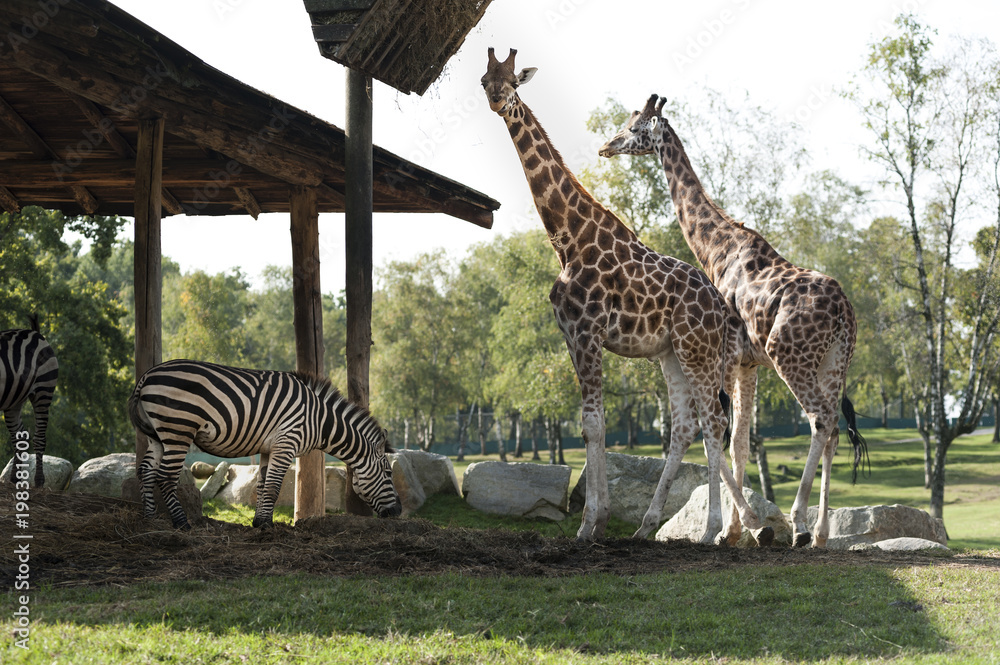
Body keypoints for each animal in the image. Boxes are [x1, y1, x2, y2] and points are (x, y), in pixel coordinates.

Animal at [2, 321, 59, 487]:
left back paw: (39, 480)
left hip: (43, 390)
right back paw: (15, 477)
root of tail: (34, 332)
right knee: (19, 436)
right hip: (13, 399)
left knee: (39, 437)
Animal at [128, 359, 401, 529]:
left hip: (157, 434)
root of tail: (147, 375)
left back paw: (150, 518)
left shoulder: (269, 448)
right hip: (178, 429)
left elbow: (261, 486)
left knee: (146, 471)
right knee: (165, 476)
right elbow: (272, 487)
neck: (319, 419)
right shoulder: (287, 443)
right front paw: (267, 526)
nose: (398, 512)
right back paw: (181, 523)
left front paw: (259, 521)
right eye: (388, 473)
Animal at [482, 48, 773, 545]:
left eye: (514, 82)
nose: (499, 101)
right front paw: (598, 520)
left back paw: (720, 529)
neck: (568, 239)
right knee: (686, 426)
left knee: (714, 423)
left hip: (696, 351)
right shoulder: (571, 335)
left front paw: (588, 524)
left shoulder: (588, 333)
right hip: (671, 354)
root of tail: (718, 307)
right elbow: (591, 425)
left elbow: (593, 425)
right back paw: (653, 526)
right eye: (485, 79)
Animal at [599, 94, 868, 548]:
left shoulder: (725, 353)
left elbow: (717, 431)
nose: (606, 147)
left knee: (820, 420)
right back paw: (822, 533)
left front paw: (731, 529)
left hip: (789, 355)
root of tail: (843, 312)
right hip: (834, 362)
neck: (716, 247)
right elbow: (740, 440)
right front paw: (743, 528)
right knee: (832, 427)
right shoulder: (748, 362)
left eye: (634, 128)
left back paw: (800, 524)